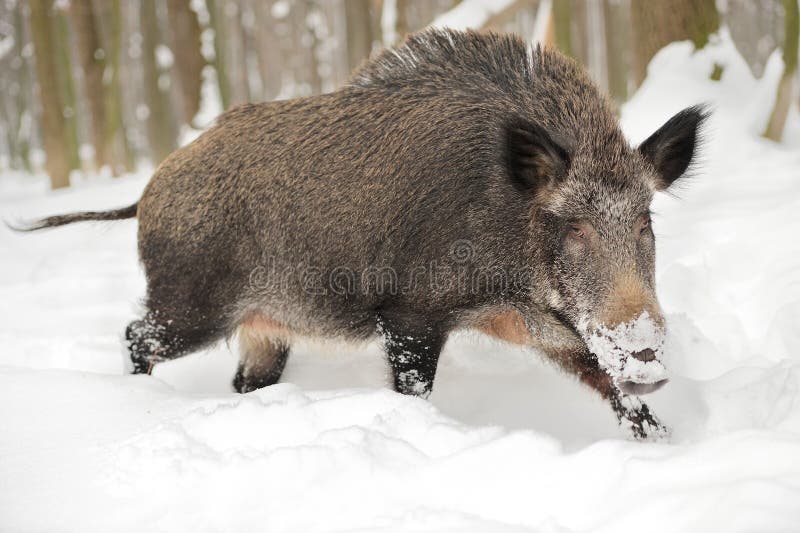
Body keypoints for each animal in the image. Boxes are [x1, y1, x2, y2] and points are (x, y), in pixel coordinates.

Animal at [20, 29, 707, 439]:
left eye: (644, 222)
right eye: (573, 227)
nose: (647, 352)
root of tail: (150, 189)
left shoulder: (550, 329)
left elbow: (612, 389)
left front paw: (664, 442)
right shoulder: (410, 312)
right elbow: (414, 388)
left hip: (266, 329)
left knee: (244, 379)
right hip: (191, 303)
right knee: (135, 334)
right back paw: (136, 397)